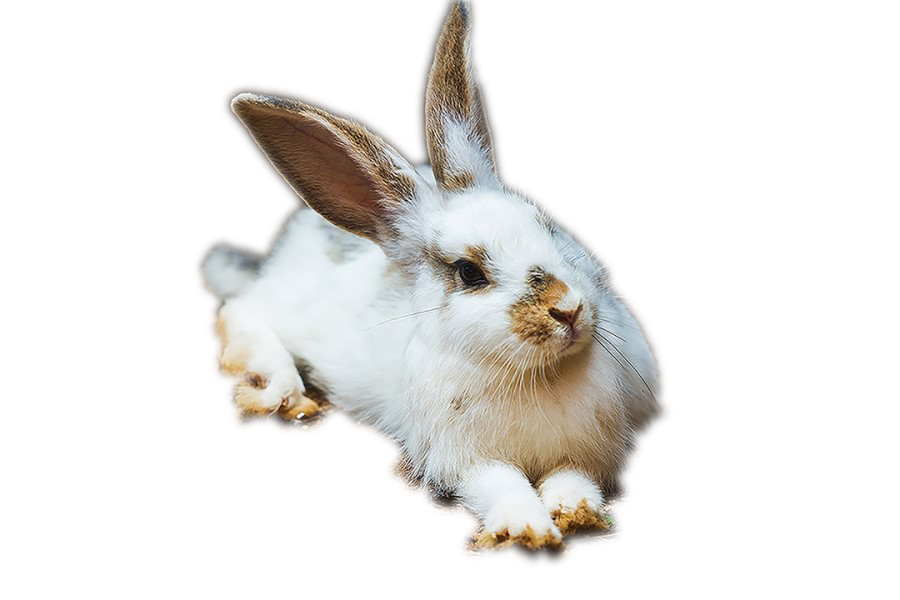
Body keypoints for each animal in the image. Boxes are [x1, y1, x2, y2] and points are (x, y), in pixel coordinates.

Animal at [204, 0, 659, 560]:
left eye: (548, 226)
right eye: (469, 272)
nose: (568, 310)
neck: (536, 373)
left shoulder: (586, 455)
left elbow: (571, 480)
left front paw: (574, 517)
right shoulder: (466, 460)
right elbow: (503, 484)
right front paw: (524, 533)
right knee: (243, 307)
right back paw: (274, 387)